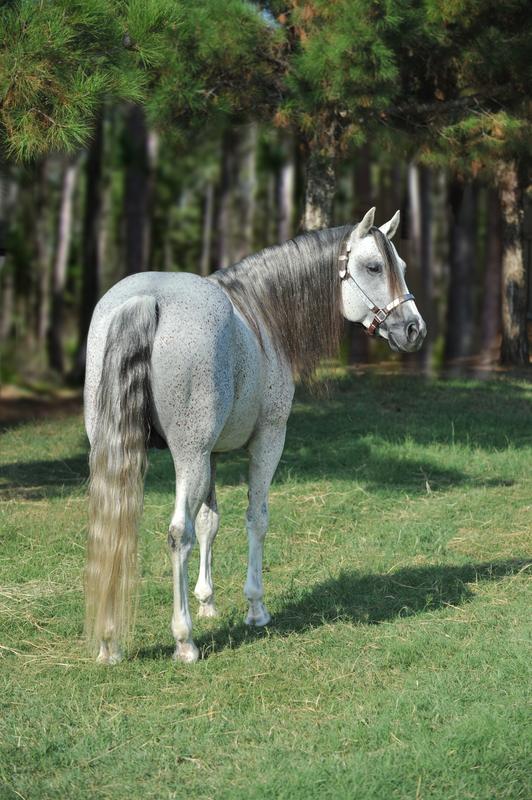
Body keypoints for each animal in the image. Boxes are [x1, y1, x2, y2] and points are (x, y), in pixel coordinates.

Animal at [84, 207, 426, 664]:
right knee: (177, 536)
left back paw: (109, 642)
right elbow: (255, 519)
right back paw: (184, 640)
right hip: (189, 457)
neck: (261, 316)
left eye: (400, 267)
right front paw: (255, 607)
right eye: (374, 267)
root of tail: (145, 300)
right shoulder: (267, 441)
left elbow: (210, 521)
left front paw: (207, 601)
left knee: (114, 526)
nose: (414, 330)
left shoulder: (211, 455)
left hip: (121, 451)